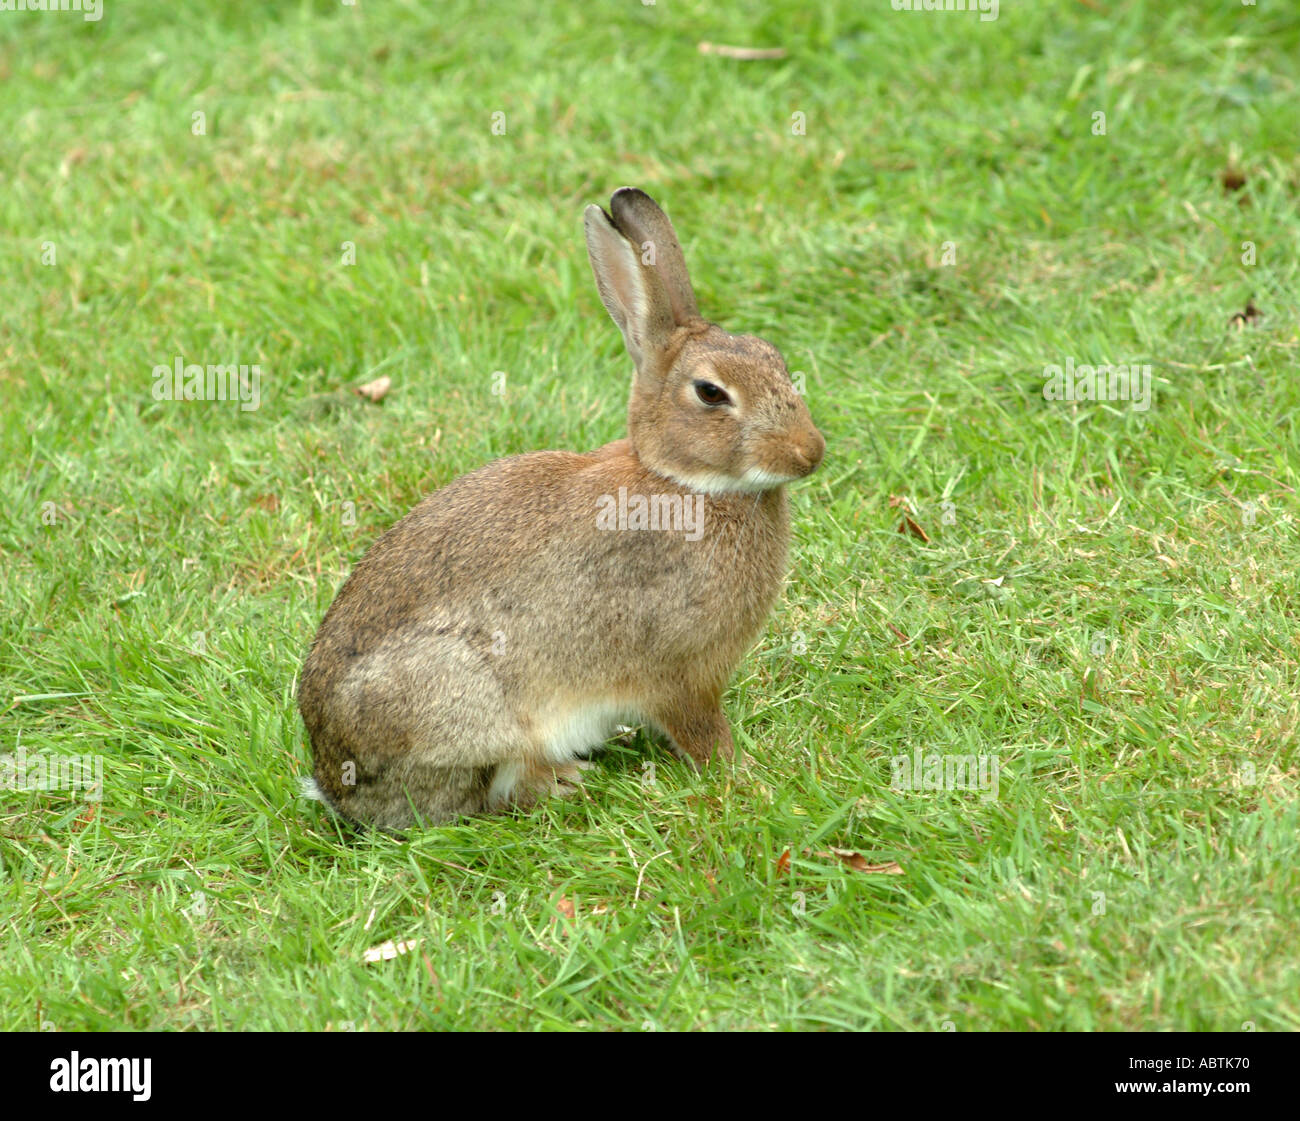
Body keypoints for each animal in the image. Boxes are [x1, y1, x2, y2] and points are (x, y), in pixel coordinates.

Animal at [298, 187, 825, 830]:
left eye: (774, 358)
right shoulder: (679, 674)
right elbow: (700, 730)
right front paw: (742, 773)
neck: (685, 482)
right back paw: (569, 780)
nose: (810, 452)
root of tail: (333, 779)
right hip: (467, 708)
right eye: (710, 393)